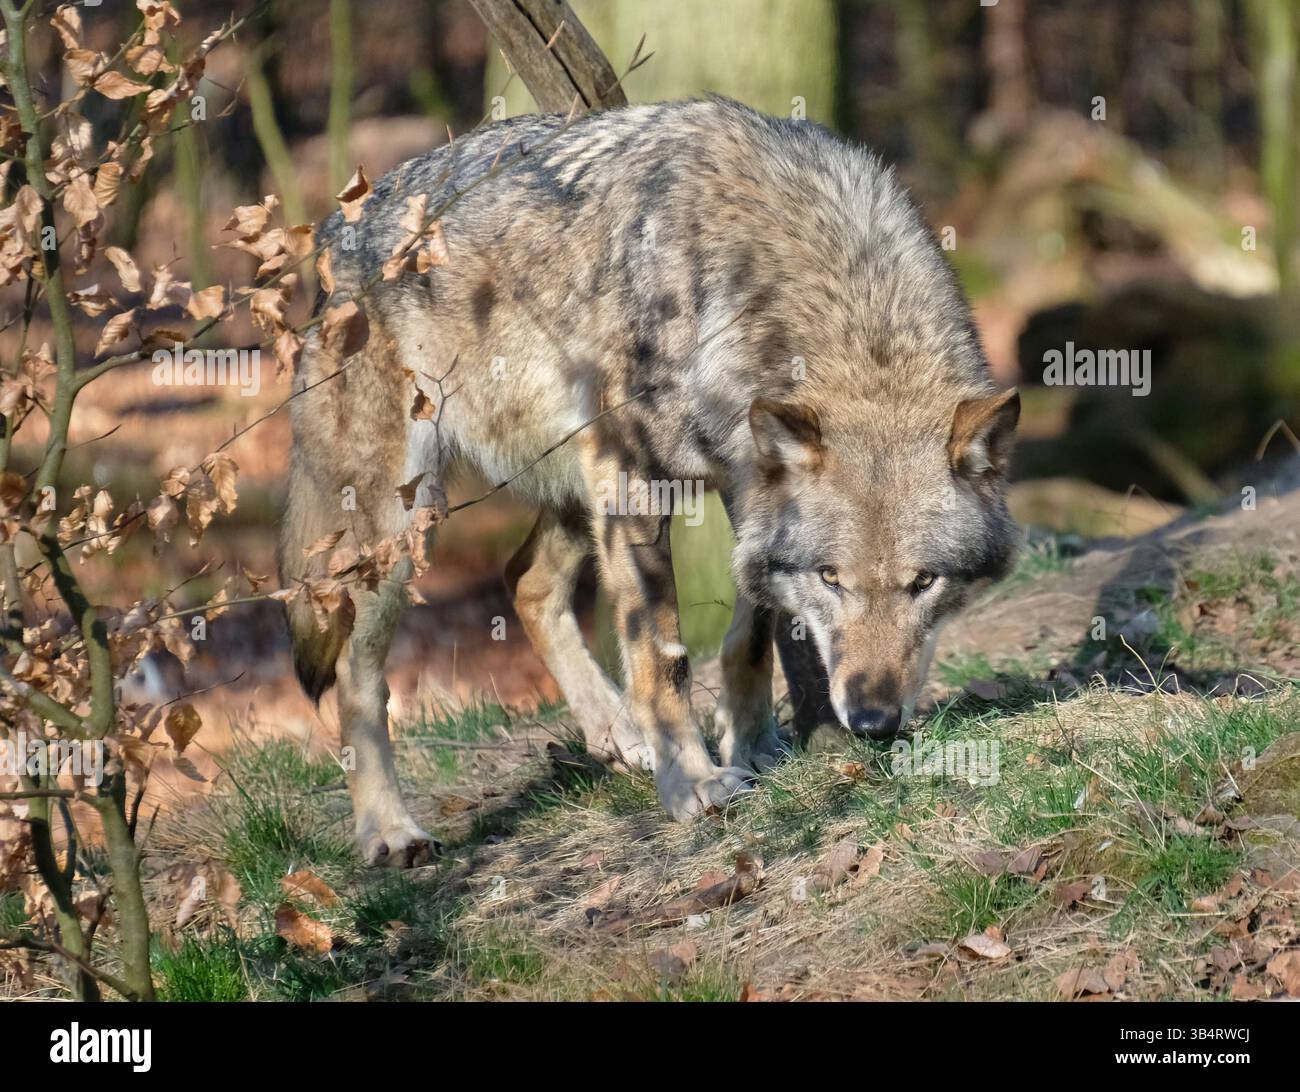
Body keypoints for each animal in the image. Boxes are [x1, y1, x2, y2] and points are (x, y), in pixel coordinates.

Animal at [279, 98, 1020, 867]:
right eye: (831, 578)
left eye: (924, 582)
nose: (873, 720)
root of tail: (337, 225)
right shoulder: (636, 478)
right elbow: (664, 656)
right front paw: (693, 782)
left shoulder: (744, 485)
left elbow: (748, 634)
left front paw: (751, 746)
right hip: (406, 520)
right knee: (358, 673)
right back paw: (389, 830)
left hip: (571, 489)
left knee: (524, 581)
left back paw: (616, 734)